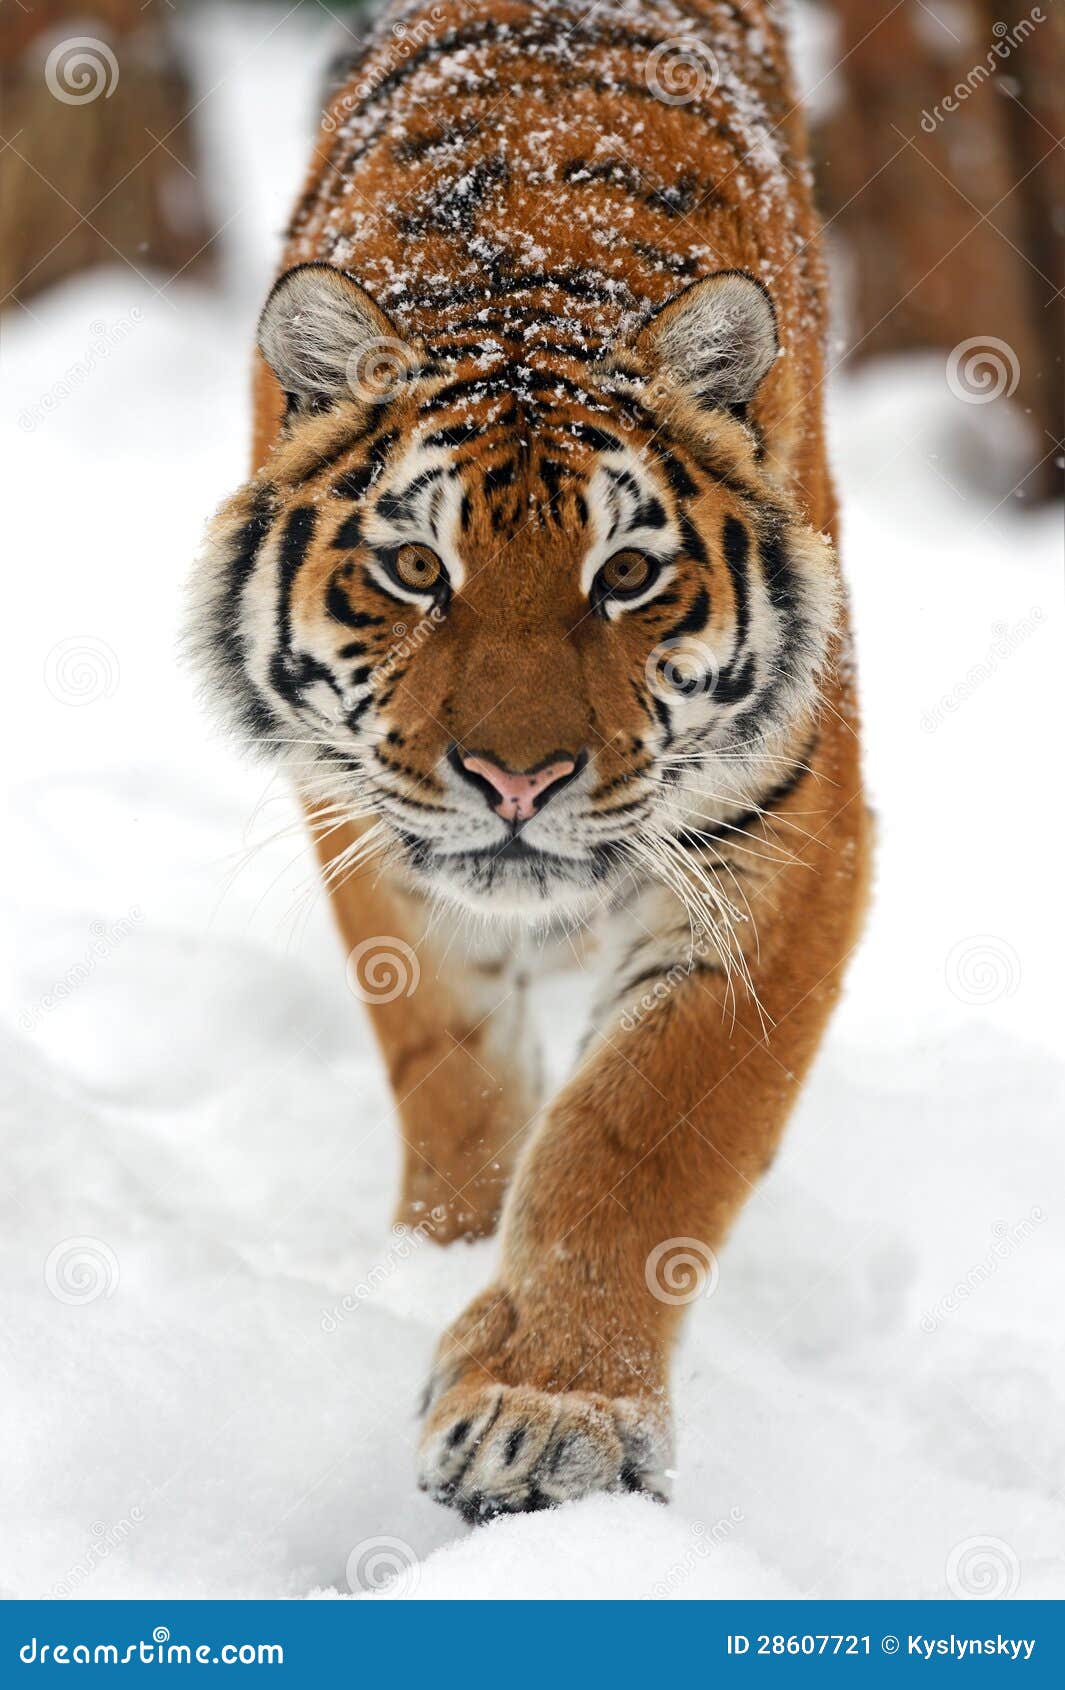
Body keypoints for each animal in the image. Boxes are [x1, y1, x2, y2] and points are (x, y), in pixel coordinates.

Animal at [189, 0, 870, 1521]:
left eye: (625, 575)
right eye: (412, 568)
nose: (516, 781)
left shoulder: (787, 840)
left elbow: (639, 1132)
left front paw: (552, 1412)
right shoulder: (360, 814)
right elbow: (449, 1066)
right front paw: (440, 1256)